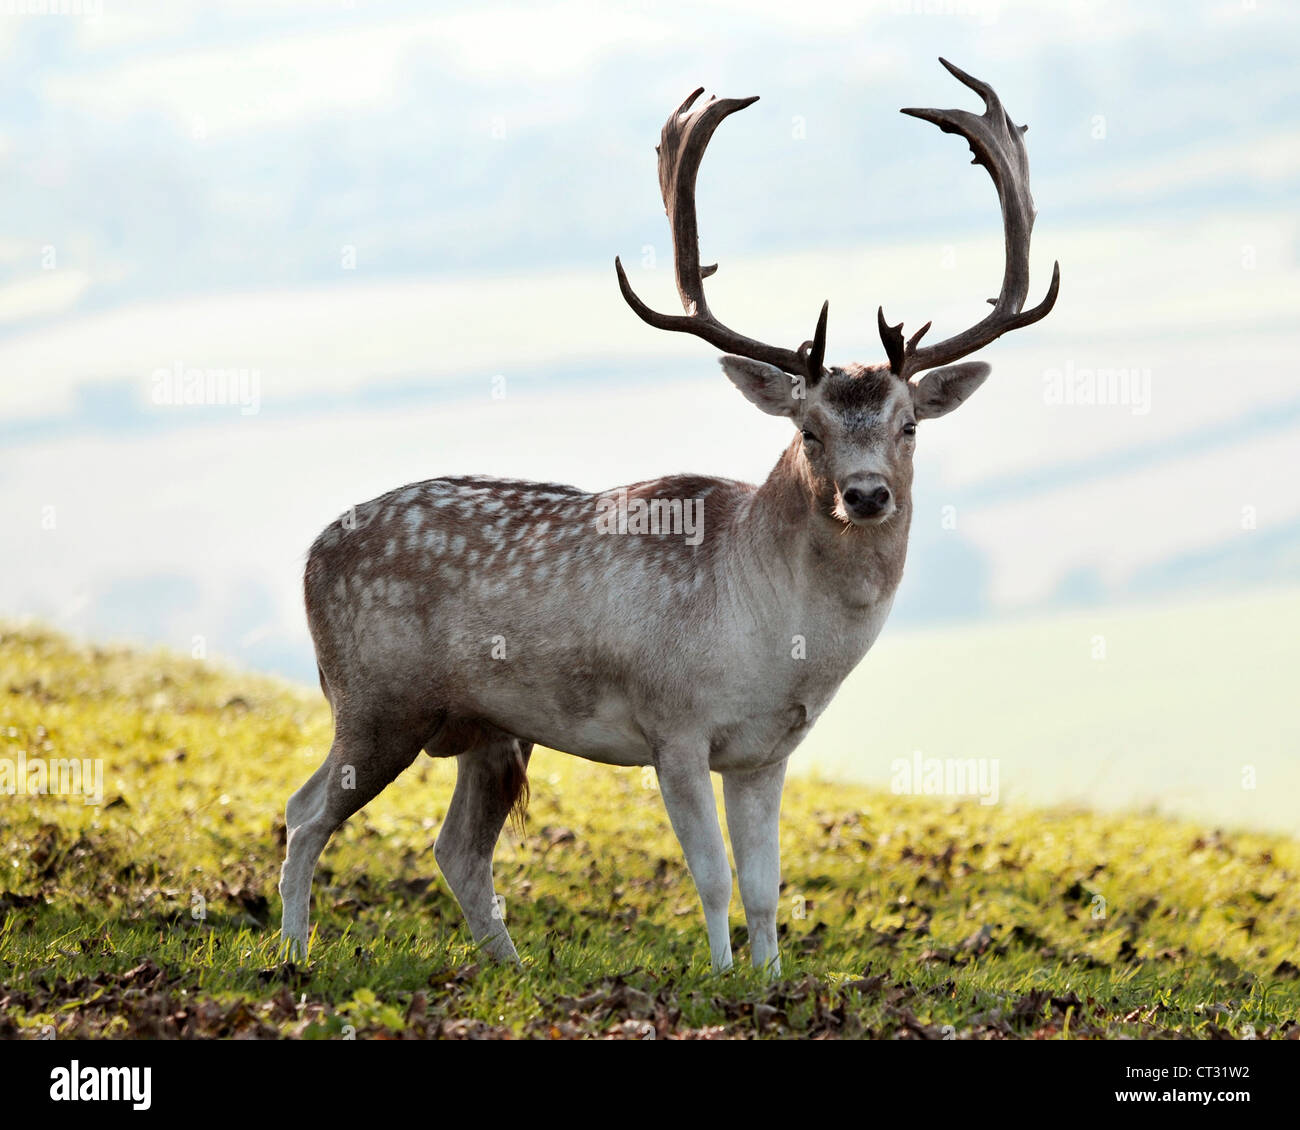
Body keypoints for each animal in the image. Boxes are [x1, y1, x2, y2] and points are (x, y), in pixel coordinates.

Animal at [278, 59, 1059, 975]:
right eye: (808, 429)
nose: (867, 495)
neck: (778, 647)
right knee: (304, 811)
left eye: (909, 425)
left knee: (457, 848)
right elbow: (712, 877)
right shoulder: (673, 724)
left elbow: (765, 884)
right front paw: (720, 976)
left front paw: (770, 978)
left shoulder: (767, 751)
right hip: (374, 697)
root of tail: (310, 553)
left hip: (486, 728)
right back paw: (293, 953)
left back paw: (511, 968)